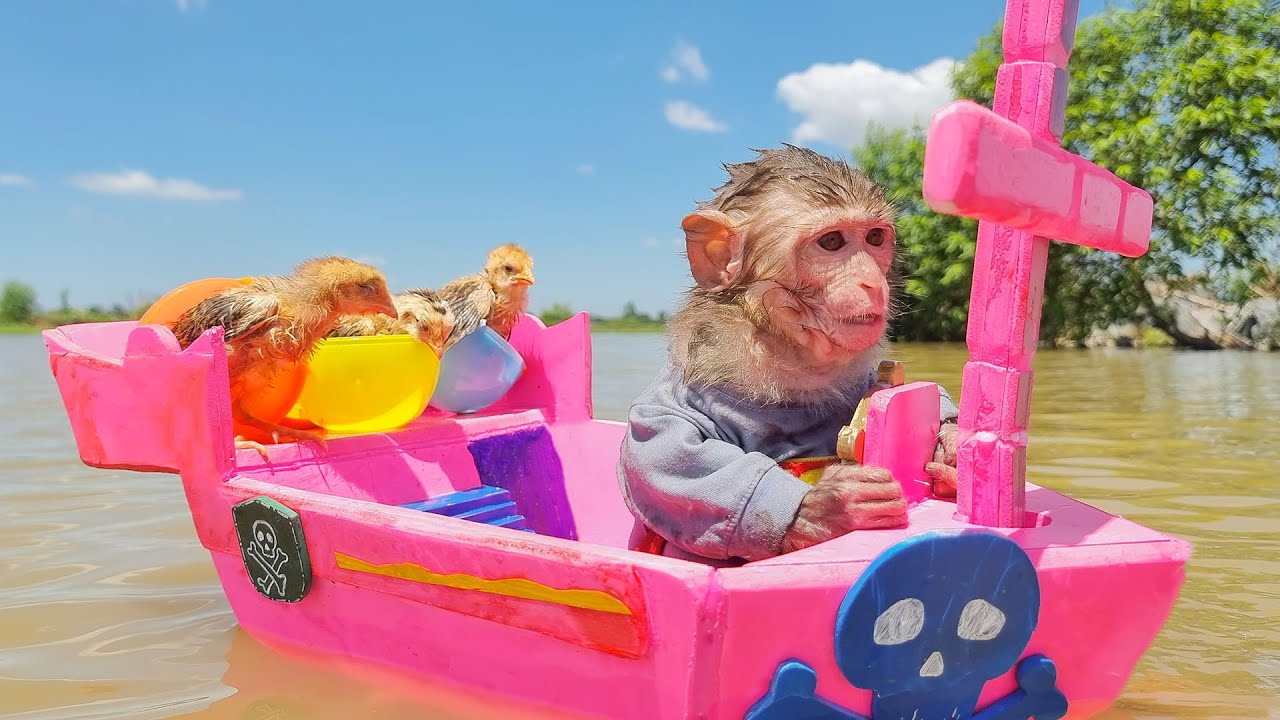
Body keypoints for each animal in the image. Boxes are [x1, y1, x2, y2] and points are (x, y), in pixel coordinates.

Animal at [617, 145, 959, 566]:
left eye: (875, 238)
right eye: (832, 242)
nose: (871, 282)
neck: (782, 350)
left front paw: (952, 448)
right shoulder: (683, 393)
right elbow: (665, 458)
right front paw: (830, 507)